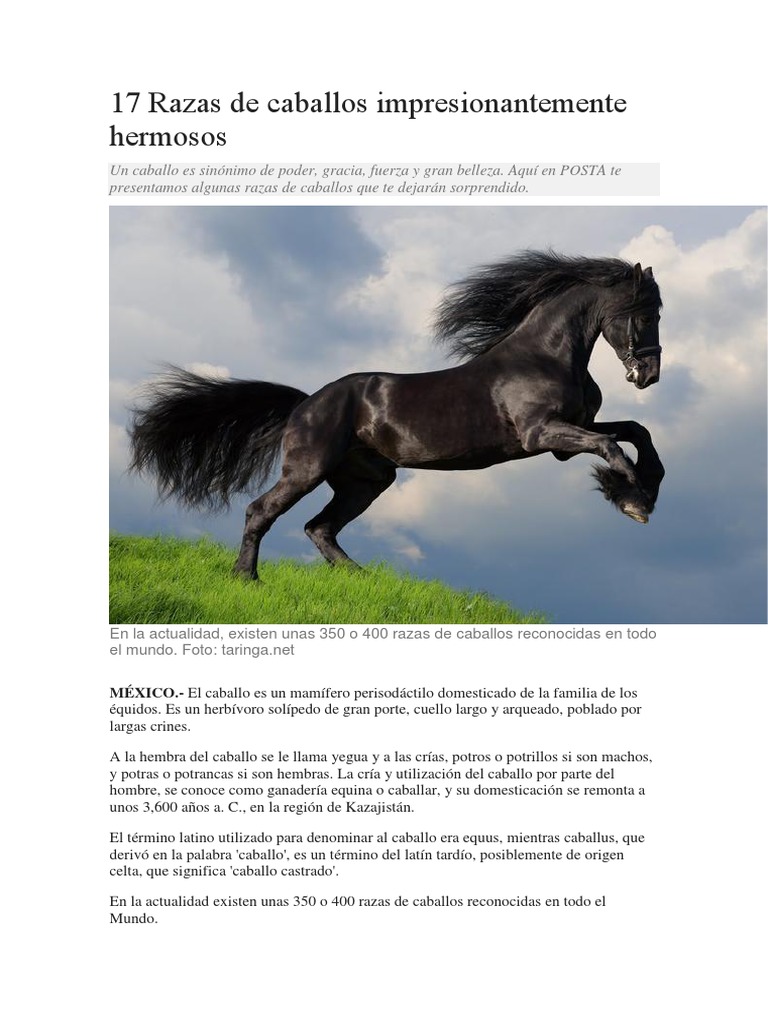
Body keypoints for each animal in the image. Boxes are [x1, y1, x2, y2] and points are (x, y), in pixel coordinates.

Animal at [129, 250, 664, 581]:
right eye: (645, 313)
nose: (649, 375)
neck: (545, 357)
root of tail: (304, 404)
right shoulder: (541, 436)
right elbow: (613, 446)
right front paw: (633, 500)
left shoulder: (565, 438)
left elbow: (636, 432)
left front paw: (644, 490)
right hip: (309, 469)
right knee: (263, 511)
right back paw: (247, 578)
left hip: (366, 480)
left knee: (320, 528)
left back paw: (359, 580)